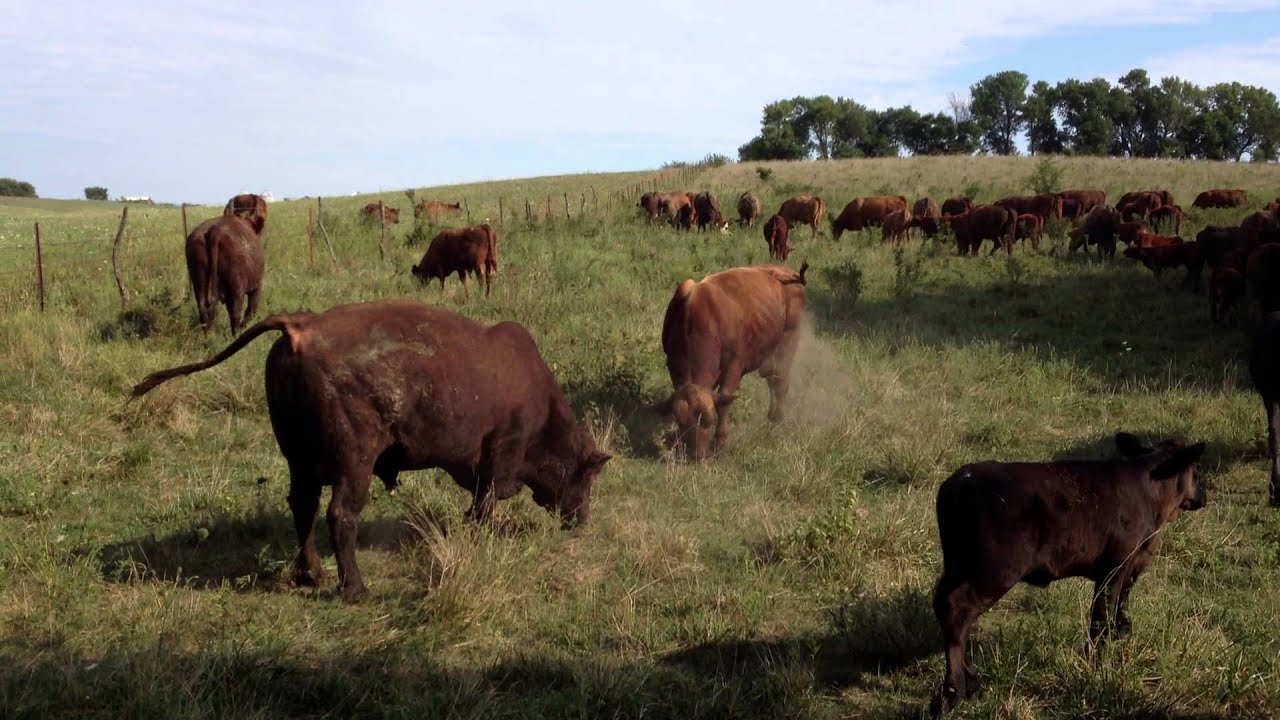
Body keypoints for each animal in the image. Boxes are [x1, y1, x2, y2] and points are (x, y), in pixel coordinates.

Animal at [131, 299, 610, 599]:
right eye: (586, 473)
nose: (582, 519)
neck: (539, 400)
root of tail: (302, 327)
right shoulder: (500, 452)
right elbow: (485, 502)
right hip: (355, 464)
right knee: (340, 514)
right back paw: (356, 588)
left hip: (299, 460)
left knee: (303, 506)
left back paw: (310, 574)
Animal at [185, 195, 267, 333]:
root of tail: (214, 231)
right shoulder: (257, 286)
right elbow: (251, 310)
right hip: (237, 289)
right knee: (235, 313)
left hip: (199, 280)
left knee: (203, 307)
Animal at [657, 263, 808, 460]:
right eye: (681, 422)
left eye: (708, 421)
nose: (695, 455)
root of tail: (788, 273)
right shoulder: (673, 365)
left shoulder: (735, 366)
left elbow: (724, 402)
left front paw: (720, 443)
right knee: (772, 382)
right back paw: (770, 417)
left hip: (787, 346)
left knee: (781, 384)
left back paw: (777, 421)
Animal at [929, 433, 1206, 717]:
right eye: (1197, 470)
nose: (1202, 497)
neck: (1149, 493)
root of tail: (960, 480)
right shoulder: (1116, 565)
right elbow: (1101, 613)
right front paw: (1095, 659)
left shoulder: (1130, 565)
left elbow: (1120, 600)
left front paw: (1120, 631)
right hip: (995, 570)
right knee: (957, 608)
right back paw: (952, 692)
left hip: (958, 565)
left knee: (946, 607)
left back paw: (969, 681)